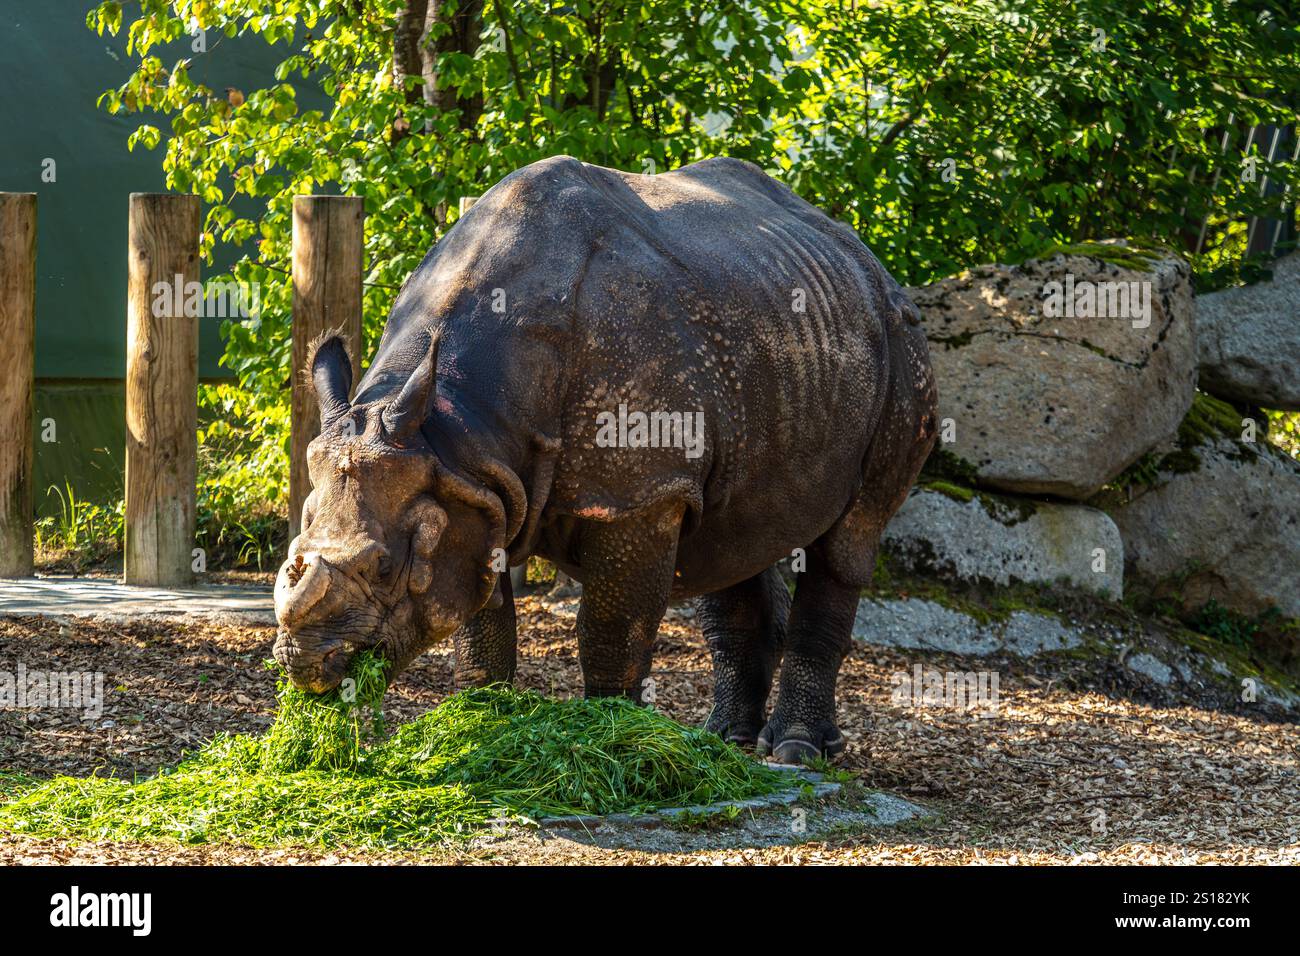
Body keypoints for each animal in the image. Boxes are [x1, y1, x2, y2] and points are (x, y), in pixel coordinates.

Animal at [273, 155, 937, 764]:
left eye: (384, 567)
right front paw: (481, 717)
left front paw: (610, 736)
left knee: (848, 538)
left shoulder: (637, 493)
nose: (306, 663)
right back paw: (722, 743)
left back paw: (797, 752)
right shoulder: (475, 485)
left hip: (902, 347)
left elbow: (611, 627)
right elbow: (484, 621)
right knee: (731, 542)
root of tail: (867, 258)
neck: (454, 423)